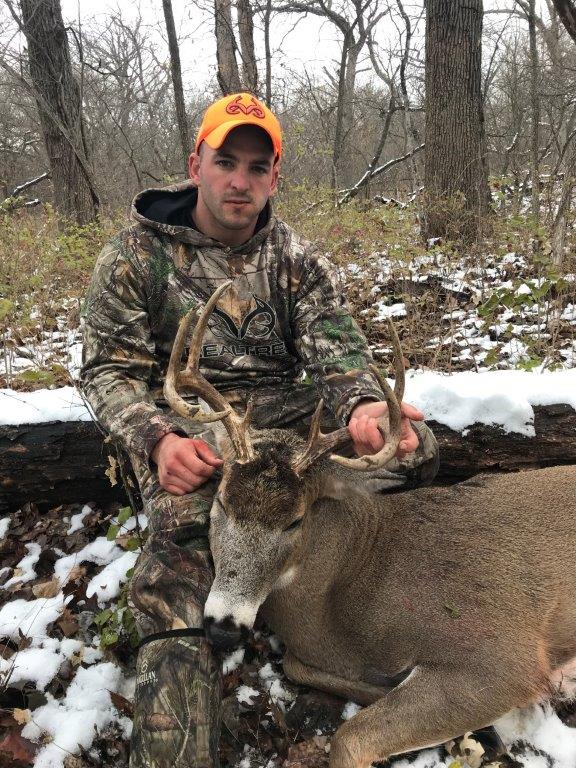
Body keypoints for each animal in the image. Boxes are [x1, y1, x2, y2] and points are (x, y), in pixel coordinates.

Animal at [164, 281, 576, 768]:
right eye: (223, 502)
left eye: (296, 520)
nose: (224, 627)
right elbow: (297, 665)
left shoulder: (503, 654)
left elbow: (349, 738)